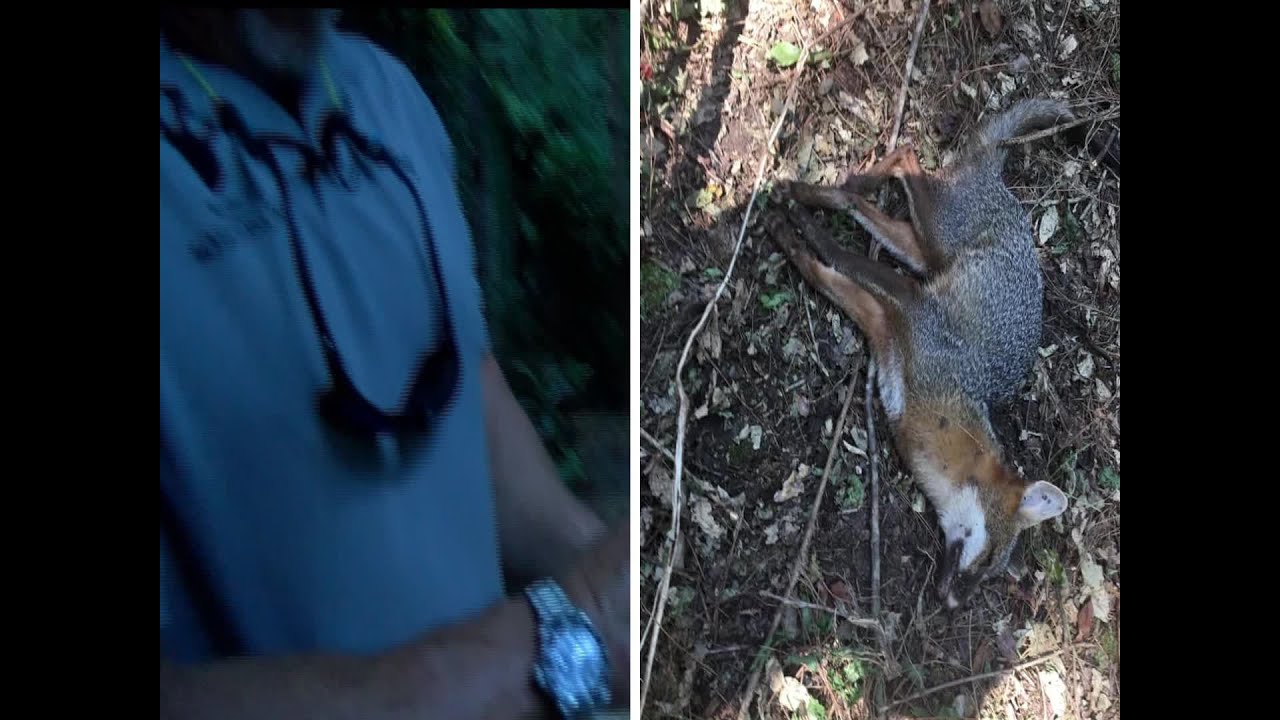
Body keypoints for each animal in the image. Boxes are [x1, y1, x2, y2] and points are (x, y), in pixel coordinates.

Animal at [768, 98, 1075, 609]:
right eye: (987, 560)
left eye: (987, 579)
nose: (955, 604)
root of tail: (997, 181)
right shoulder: (912, 306)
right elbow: (840, 253)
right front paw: (802, 229)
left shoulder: (882, 324)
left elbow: (825, 273)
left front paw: (793, 240)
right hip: (933, 234)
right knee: (907, 156)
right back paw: (826, 190)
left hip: (918, 248)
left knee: (872, 199)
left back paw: (819, 192)